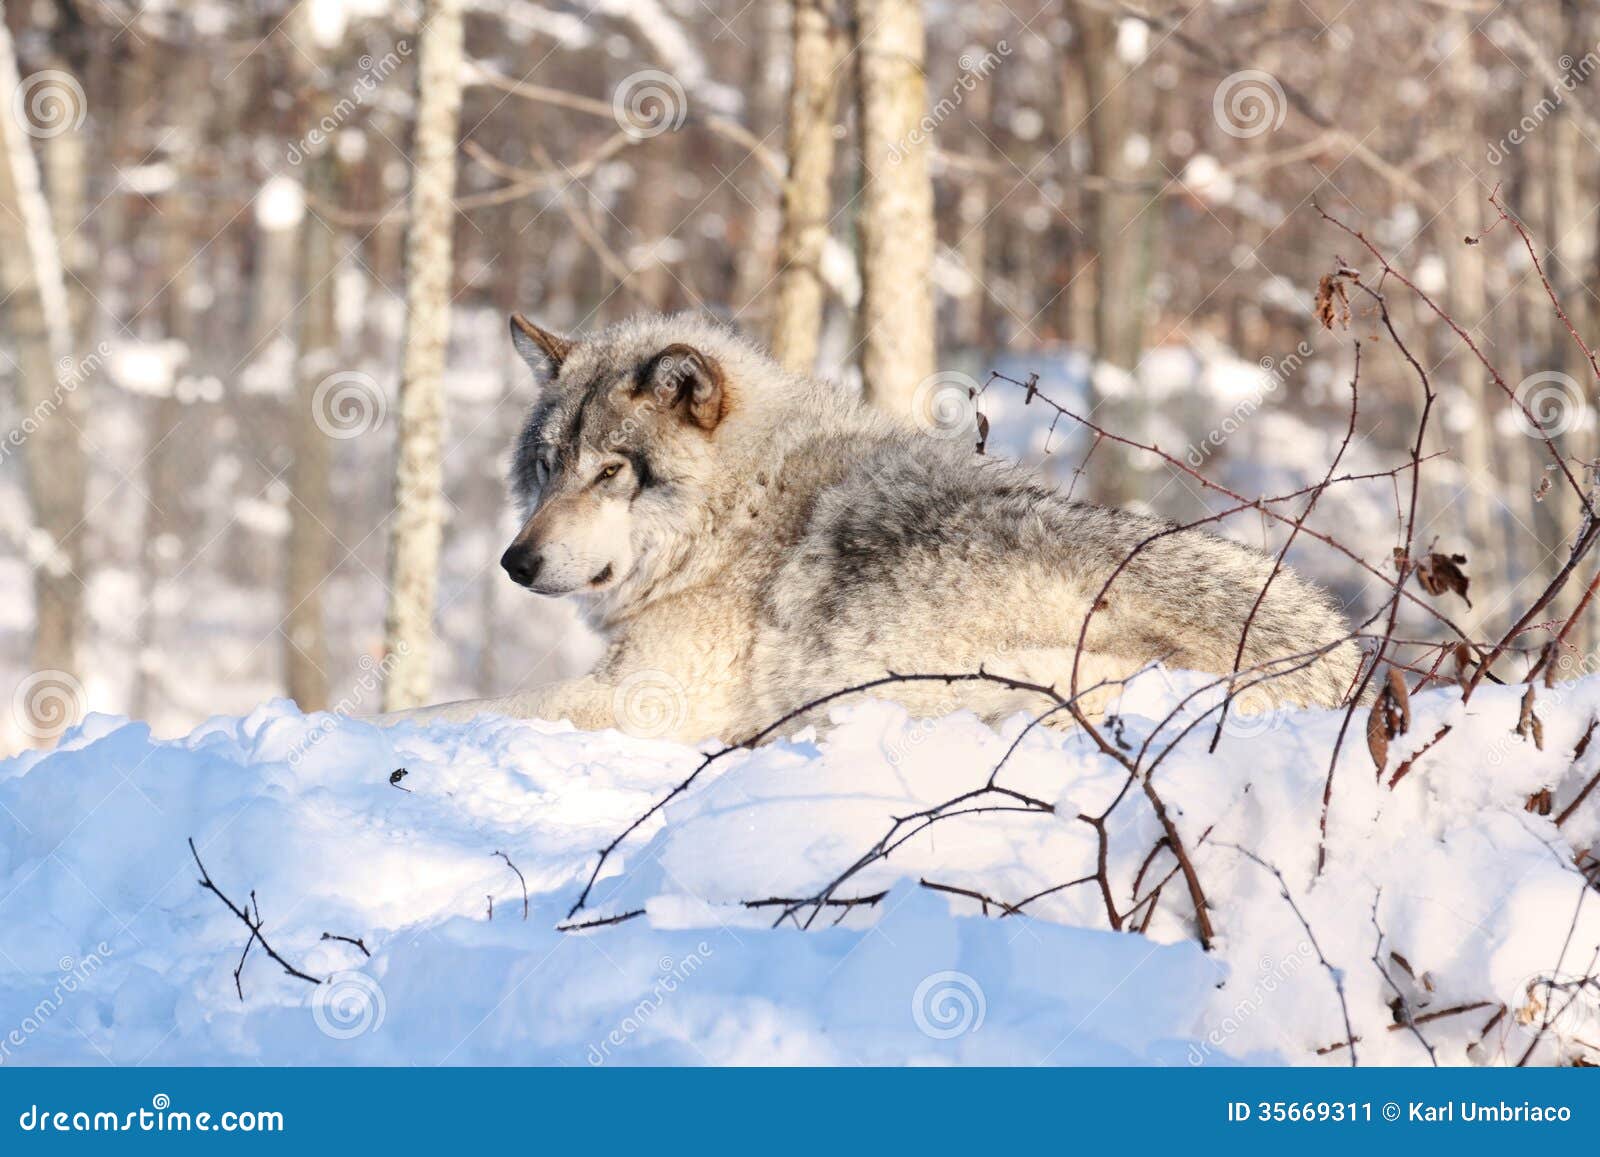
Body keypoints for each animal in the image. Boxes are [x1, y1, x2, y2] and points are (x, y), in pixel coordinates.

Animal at [390, 313, 1360, 743]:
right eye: (549, 465)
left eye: (611, 473)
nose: (516, 561)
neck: (739, 511)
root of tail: (1347, 673)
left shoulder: (648, 695)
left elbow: (443, 711)